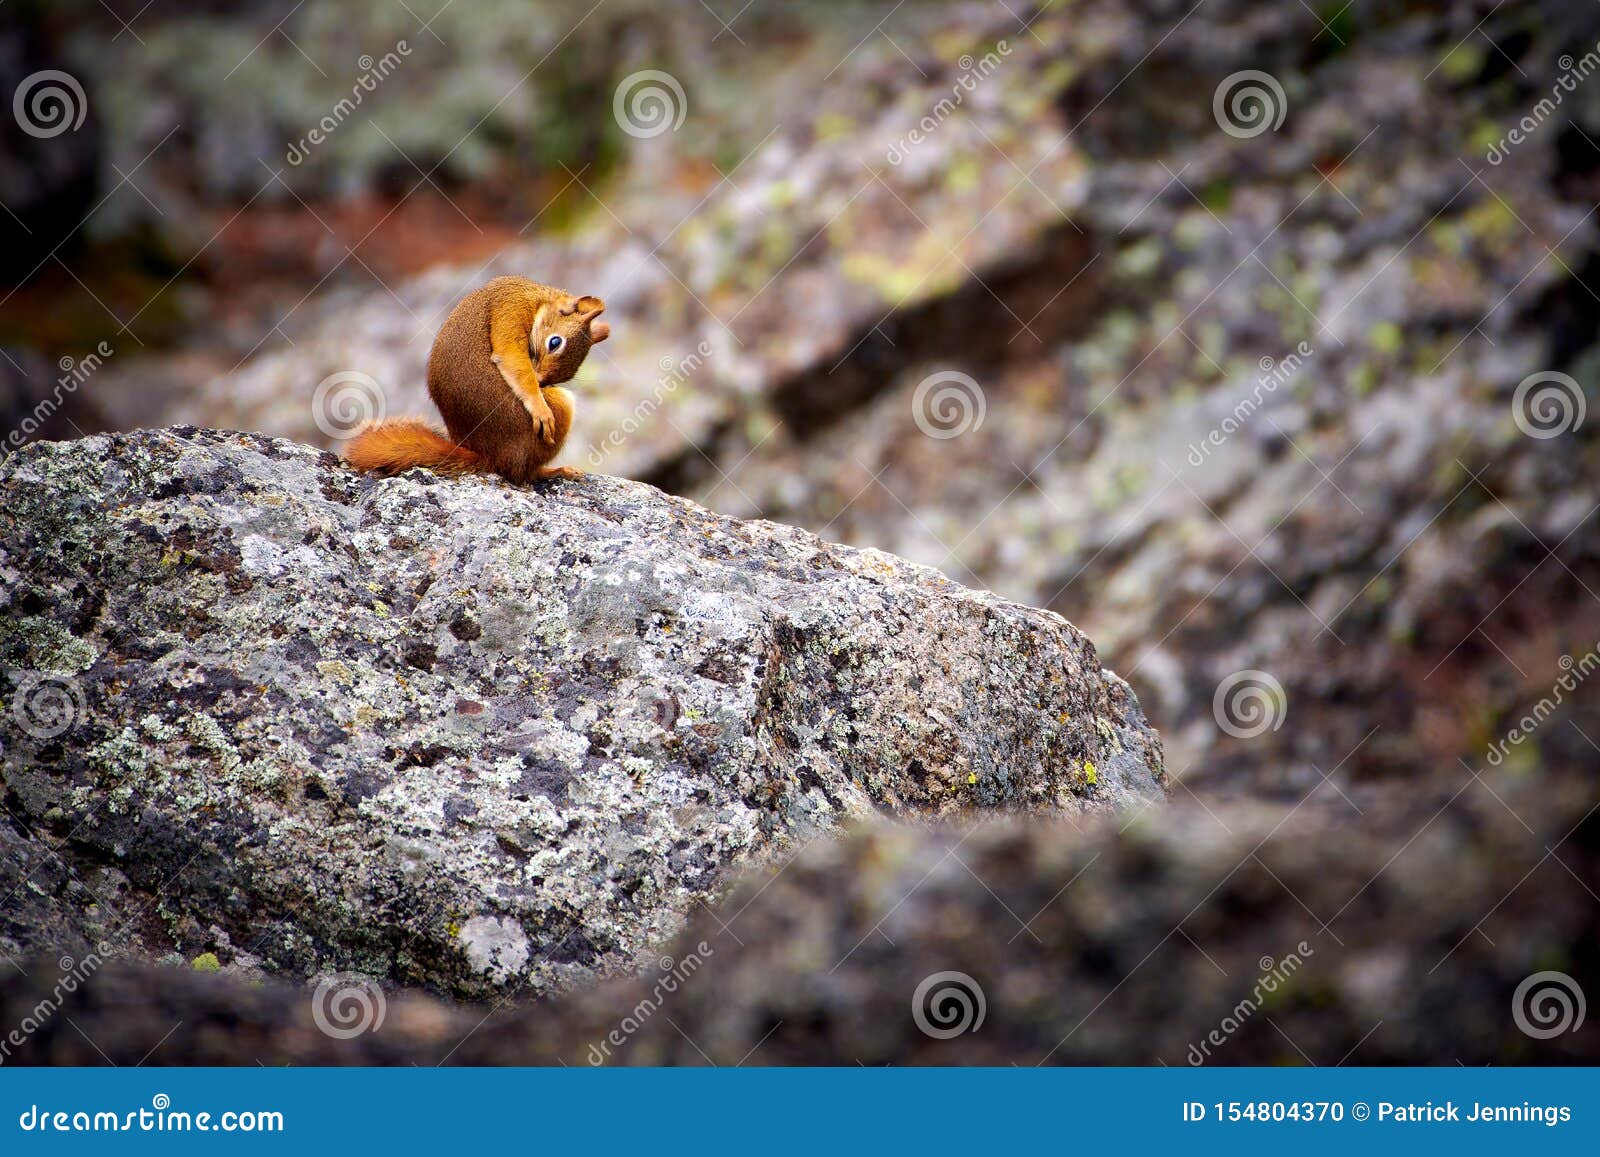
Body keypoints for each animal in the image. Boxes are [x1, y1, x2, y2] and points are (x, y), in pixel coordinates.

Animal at [342, 276, 609, 484]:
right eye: (554, 342)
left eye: (569, 375)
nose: (542, 383)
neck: (536, 296)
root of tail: (486, 456)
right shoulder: (510, 308)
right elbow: (511, 356)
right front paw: (539, 407)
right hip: (558, 409)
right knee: (521, 474)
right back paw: (553, 470)